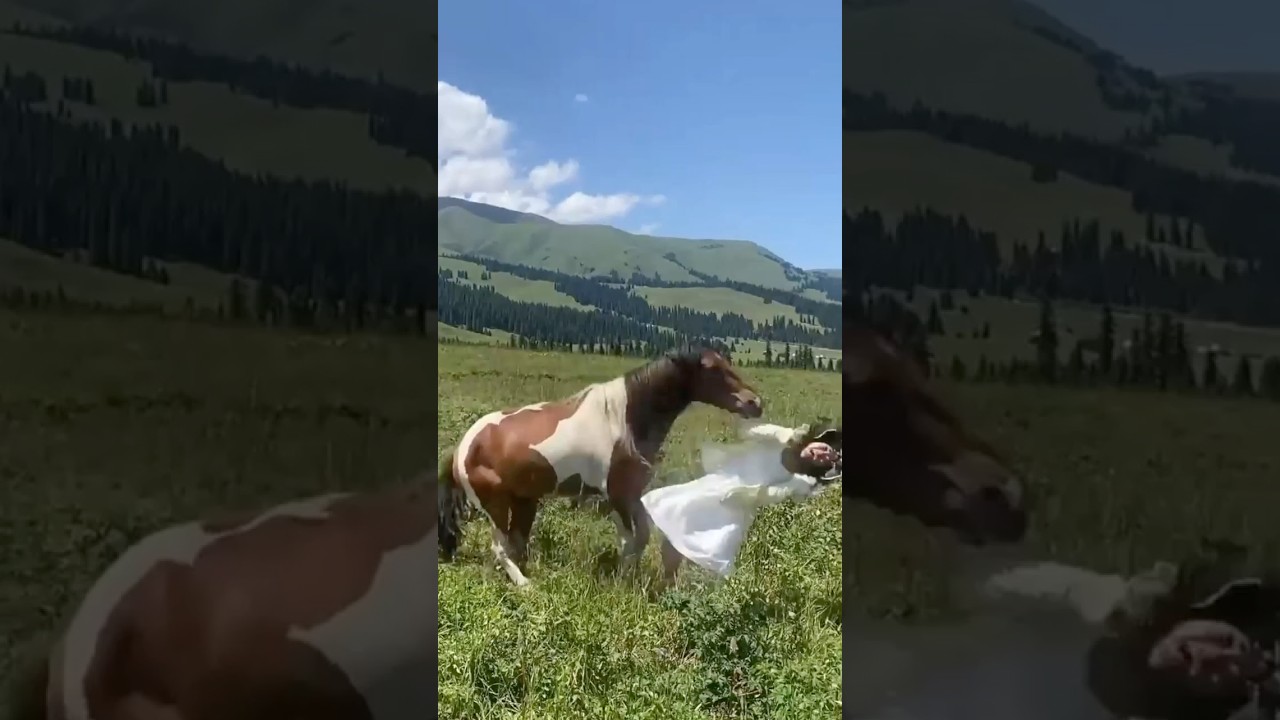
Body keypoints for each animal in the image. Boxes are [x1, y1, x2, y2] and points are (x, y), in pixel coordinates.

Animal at [437, 345, 762, 588]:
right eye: (713, 369)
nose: (755, 403)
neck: (624, 418)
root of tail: (463, 447)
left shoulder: (631, 495)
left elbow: (641, 536)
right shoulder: (616, 496)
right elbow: (632, 540)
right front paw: (623, 580)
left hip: (524, 501)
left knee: (516, 544)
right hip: (496, 505)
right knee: (500, 547)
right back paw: (525, 585)